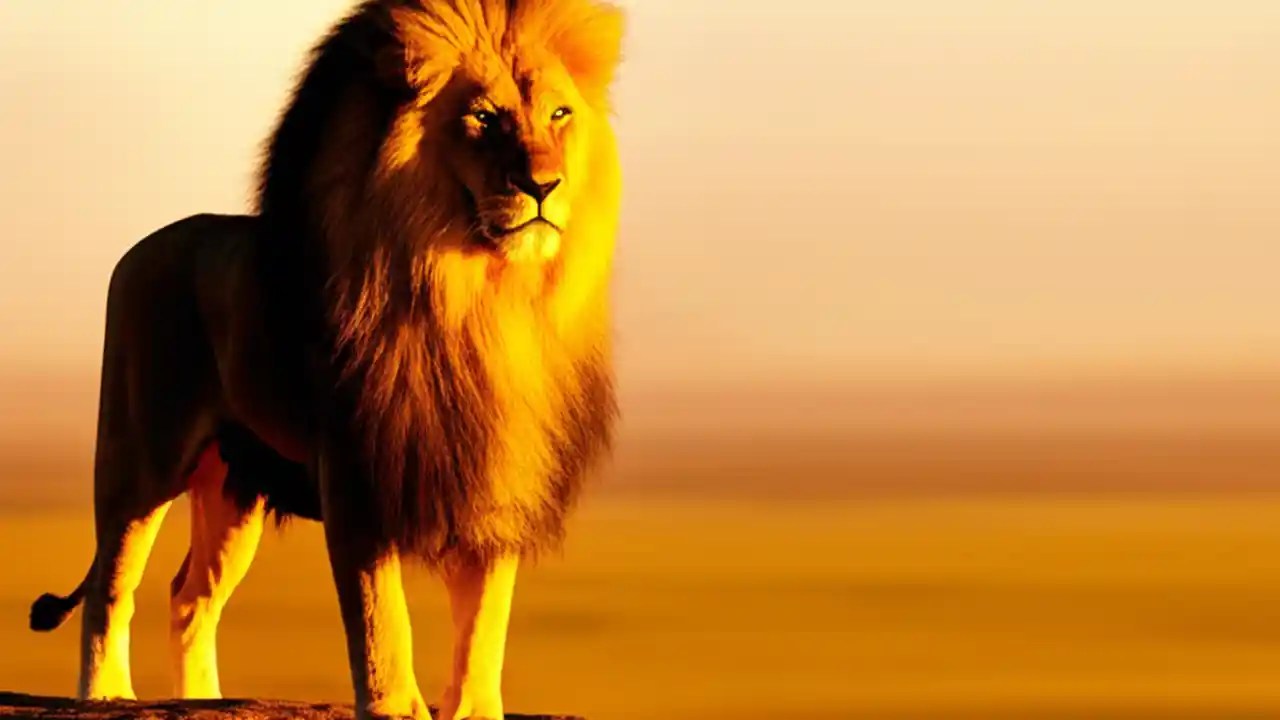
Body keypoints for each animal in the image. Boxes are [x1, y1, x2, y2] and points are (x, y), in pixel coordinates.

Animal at [27, 2, 625, 718]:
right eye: (484, 118)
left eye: (560, 115)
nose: (543, 184)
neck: (478, 299)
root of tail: (142, 247)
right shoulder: (358, 470)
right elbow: (380, 618)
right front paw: (395, 705)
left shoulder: (495, 474)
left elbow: (486, 618)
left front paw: (474, 708)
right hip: (139, 459)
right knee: (111, 585)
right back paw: (107, 694)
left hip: (232, 487)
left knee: (190, 596)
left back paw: (206, 698)